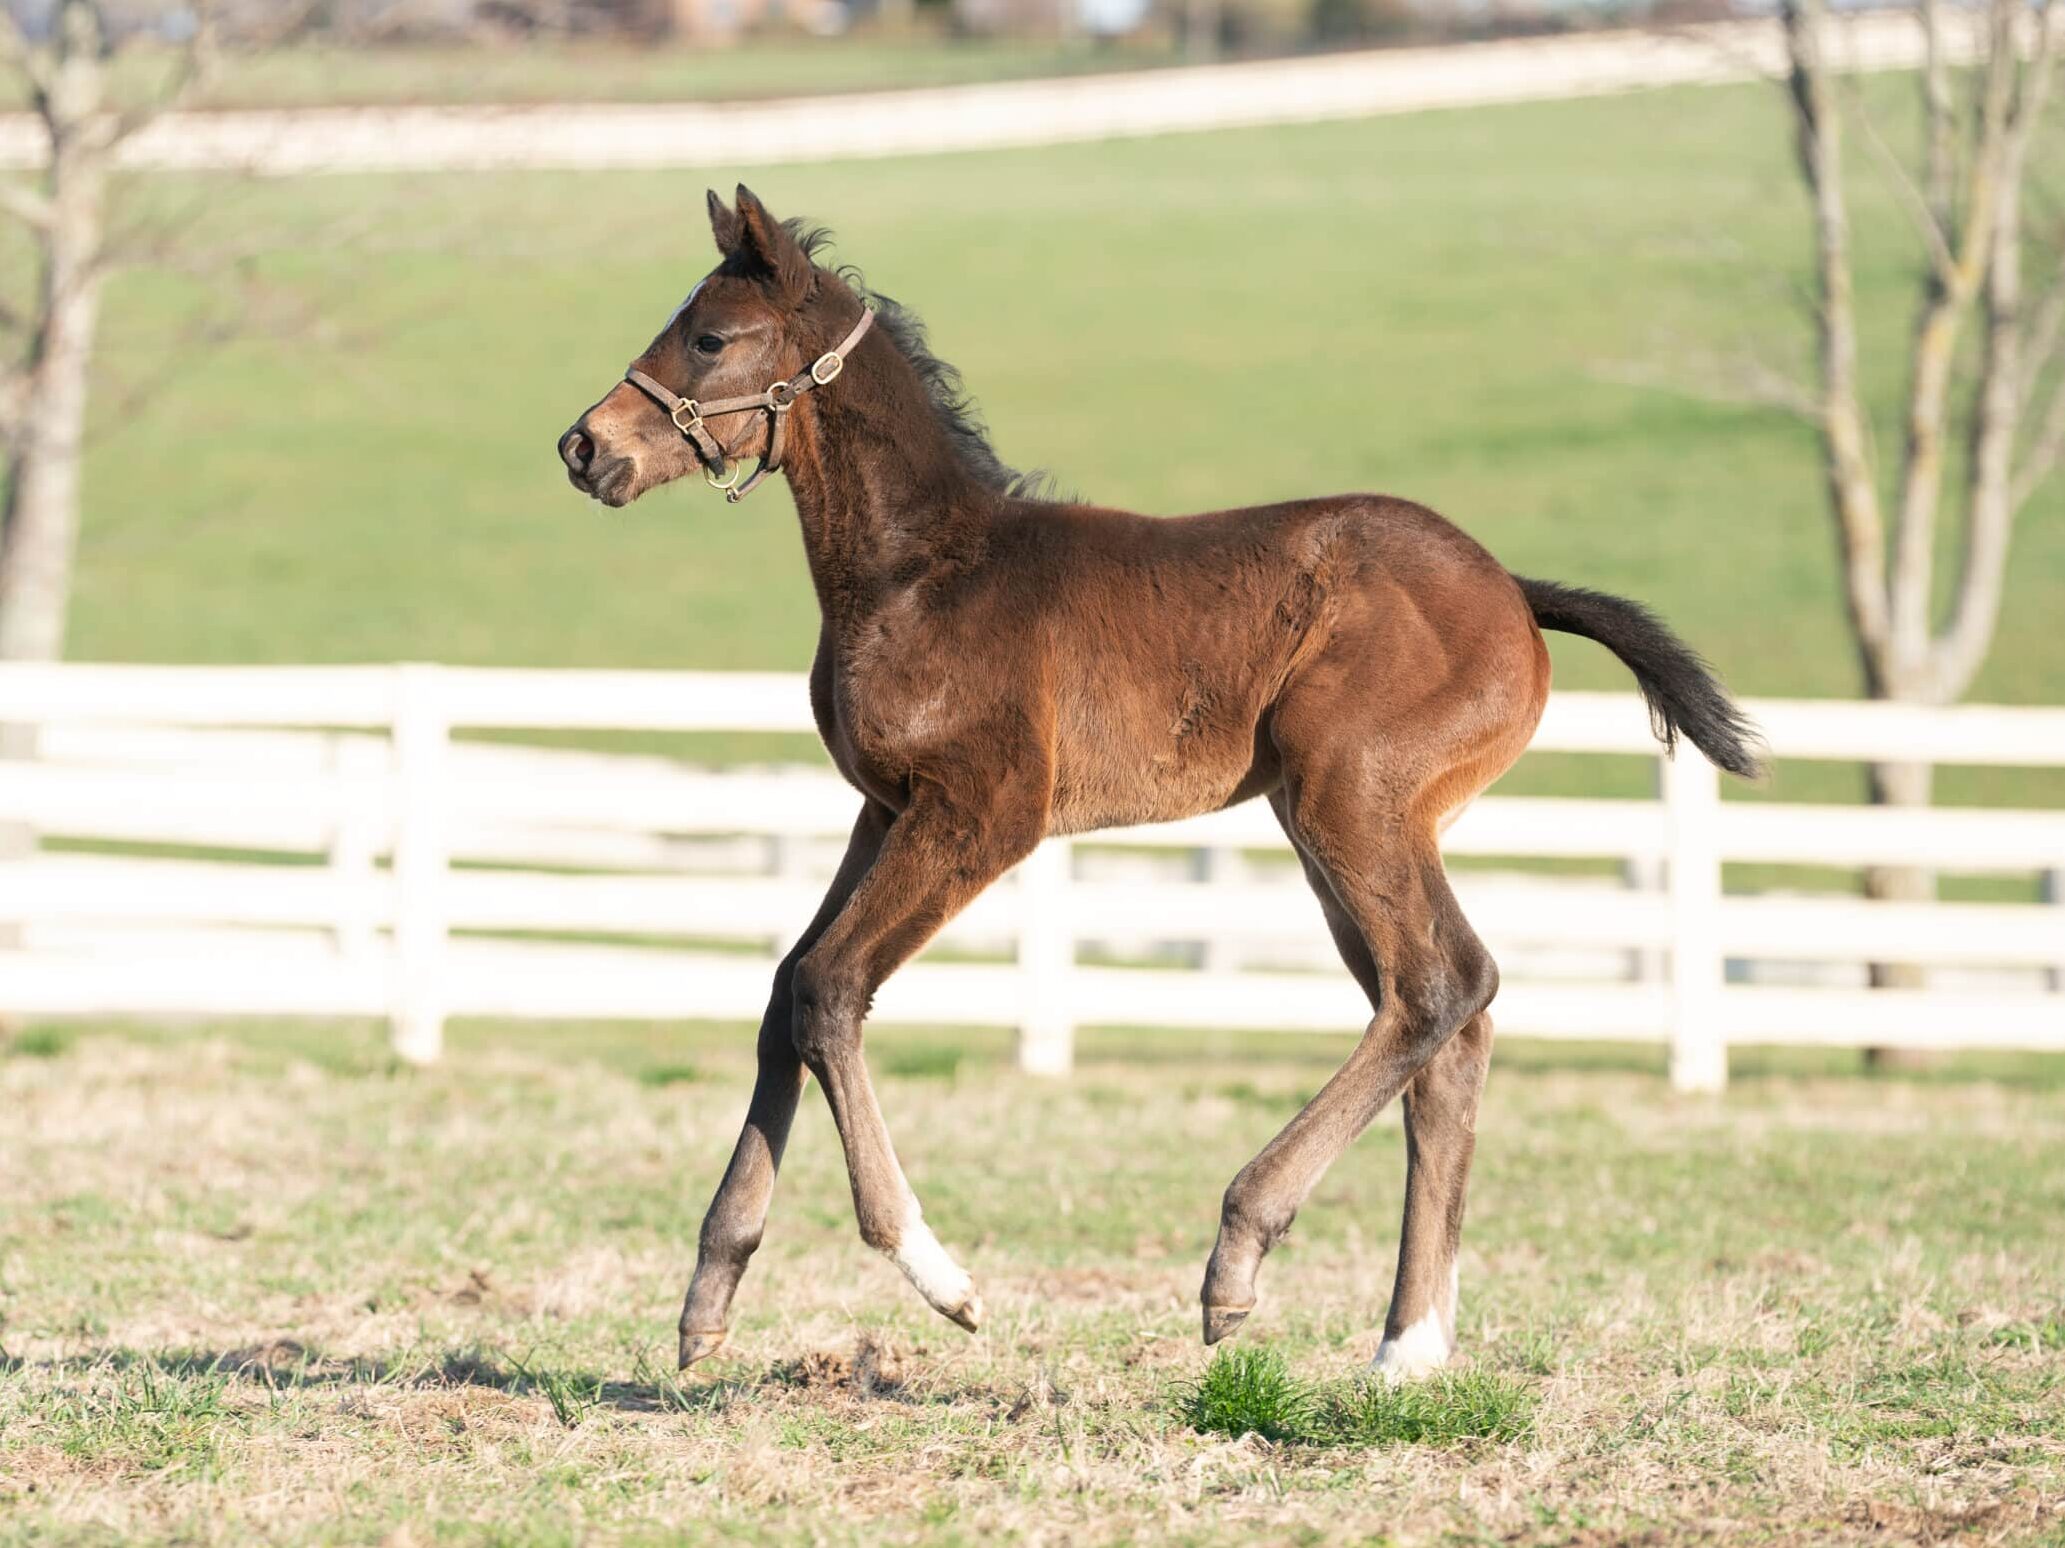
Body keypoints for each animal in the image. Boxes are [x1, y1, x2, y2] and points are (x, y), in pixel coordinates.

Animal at [559, 186, 1761, 1380]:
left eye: (710, 338)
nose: (582, 447)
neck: (923, 571)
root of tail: (1511, 591)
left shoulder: (982, 813)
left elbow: (828, 988)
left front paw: (940, 1277)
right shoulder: (884, 807)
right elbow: (783, 993)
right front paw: (708, 1293)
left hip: (1347, 799)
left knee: (1442, 984)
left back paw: (1243, 1255)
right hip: (1345, 825)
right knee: (1444, 1024)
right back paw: (1407, 1350)